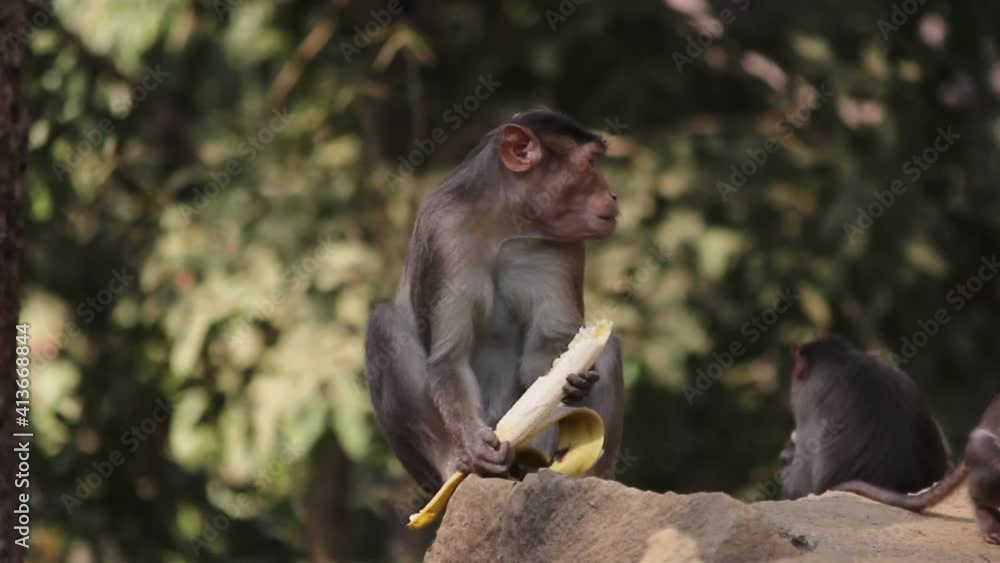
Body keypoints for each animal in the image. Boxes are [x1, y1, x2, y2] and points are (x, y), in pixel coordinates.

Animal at [365, 109, 625, 491]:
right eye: (590, 163)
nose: (614, 195)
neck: (509, 221)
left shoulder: (565, 247)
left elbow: (545, 355)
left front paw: (577, 382)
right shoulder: (446, 228)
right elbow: (449, 356)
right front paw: (475, 444)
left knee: (609, 348)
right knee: (384, 324)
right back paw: (456, 466)